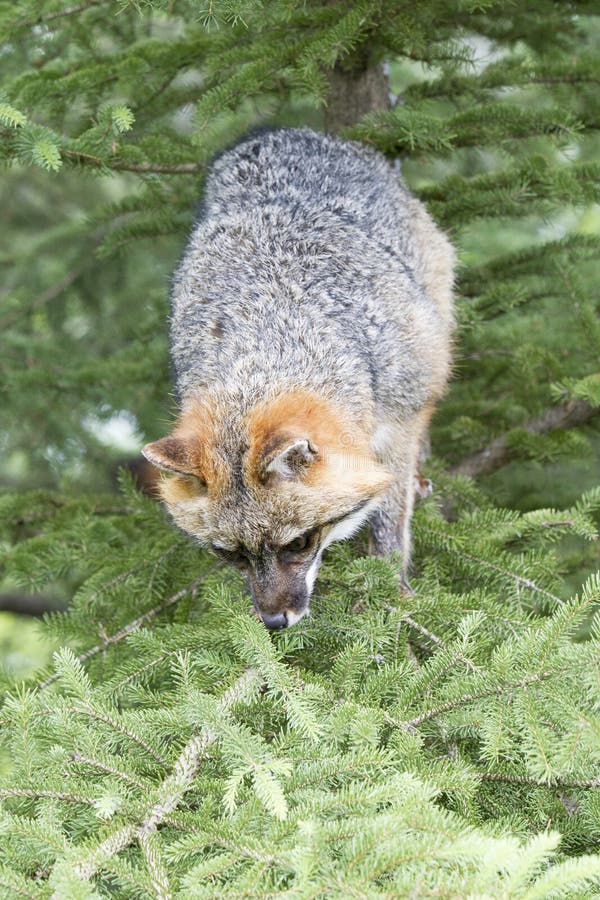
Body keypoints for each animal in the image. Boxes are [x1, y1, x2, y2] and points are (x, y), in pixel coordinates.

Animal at [142, 127, 455, 630]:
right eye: (230, 554)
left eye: (299, 543)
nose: (274, 622)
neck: (276, 335)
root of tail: (289, 132)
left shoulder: (399, 415)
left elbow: (389, 512)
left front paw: (389, 585)